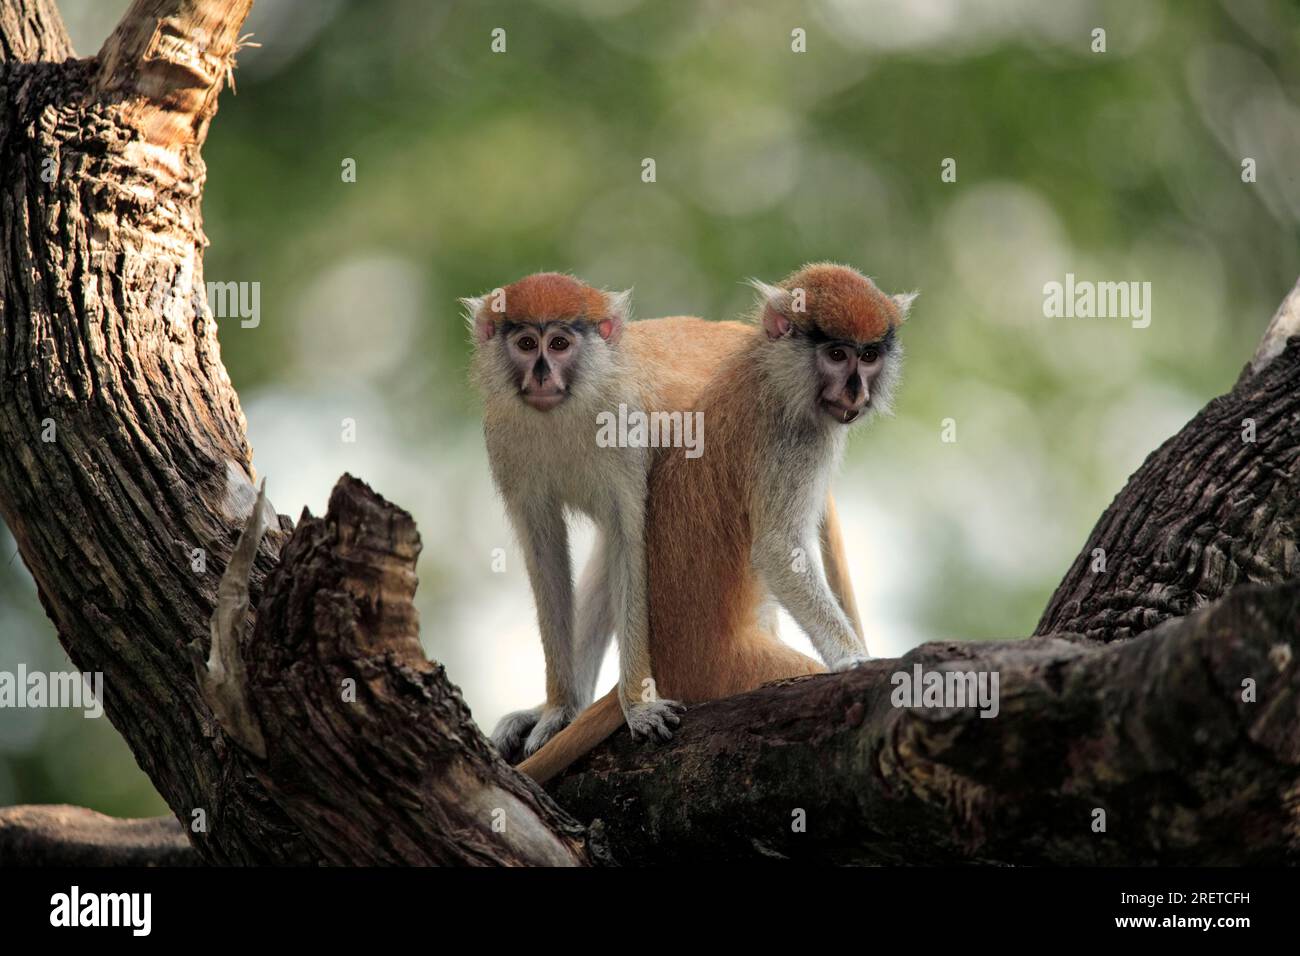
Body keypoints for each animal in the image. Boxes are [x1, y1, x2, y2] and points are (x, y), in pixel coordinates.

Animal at [517, 263, 913, 783]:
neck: (770, 369)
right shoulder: (796, 439)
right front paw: (855, 660)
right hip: (739, 667)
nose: (856, 390)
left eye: (868, 356)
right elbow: (778, 550)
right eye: (836, 354)